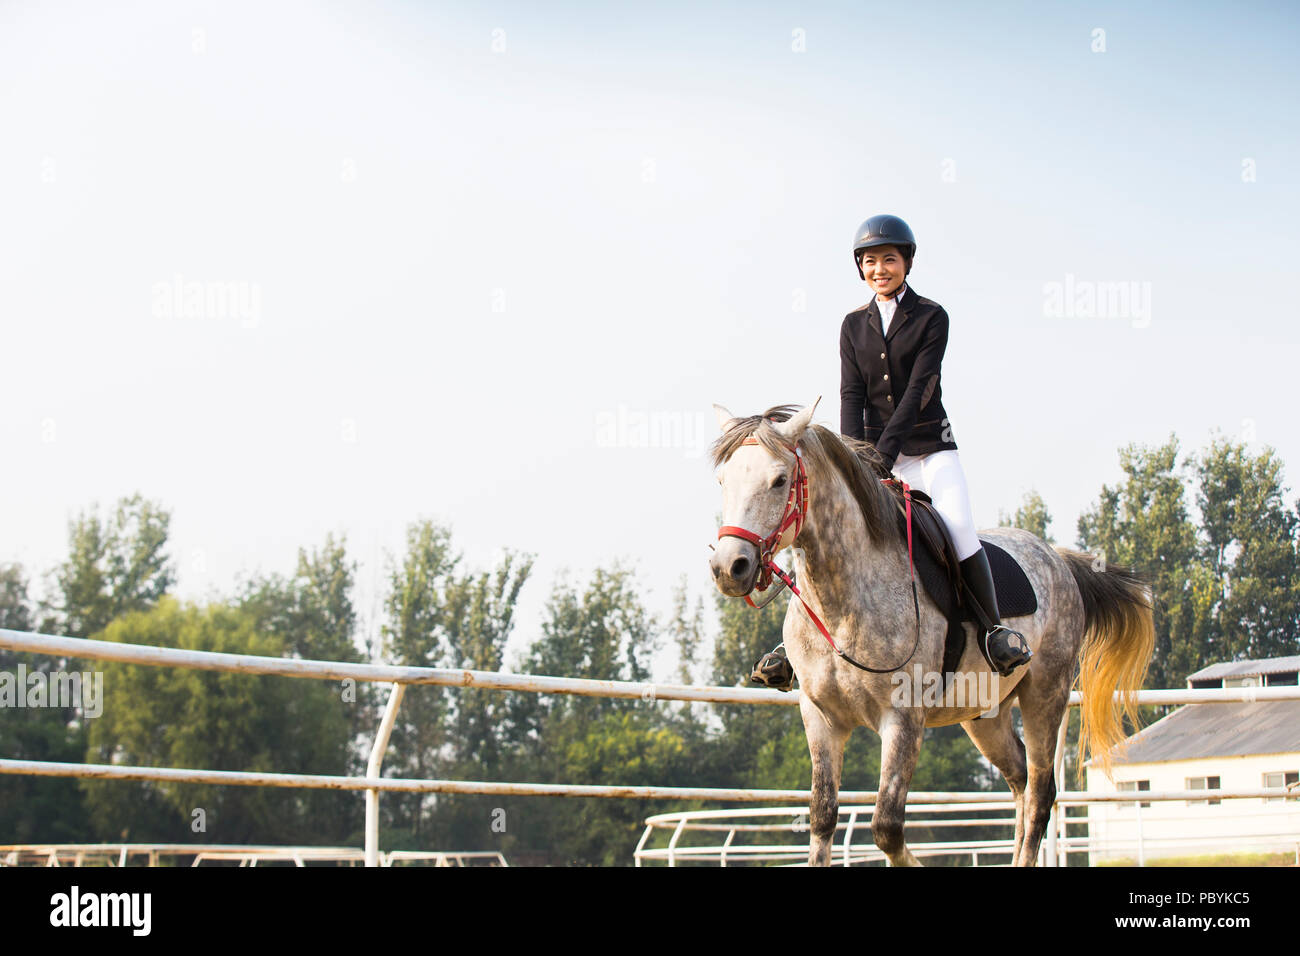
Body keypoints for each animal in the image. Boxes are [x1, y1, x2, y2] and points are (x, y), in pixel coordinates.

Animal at [708, 399, 1155, 866]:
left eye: (779, 480)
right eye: (723, 480)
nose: (729, 567)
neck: (841, 601)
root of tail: (1059, 559)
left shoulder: (902, 717)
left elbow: (887, 827)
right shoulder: (820, 718)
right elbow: (822, 819)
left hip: (1044, 696)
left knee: (1039, 793)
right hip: (984, 714)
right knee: (1018, 779)